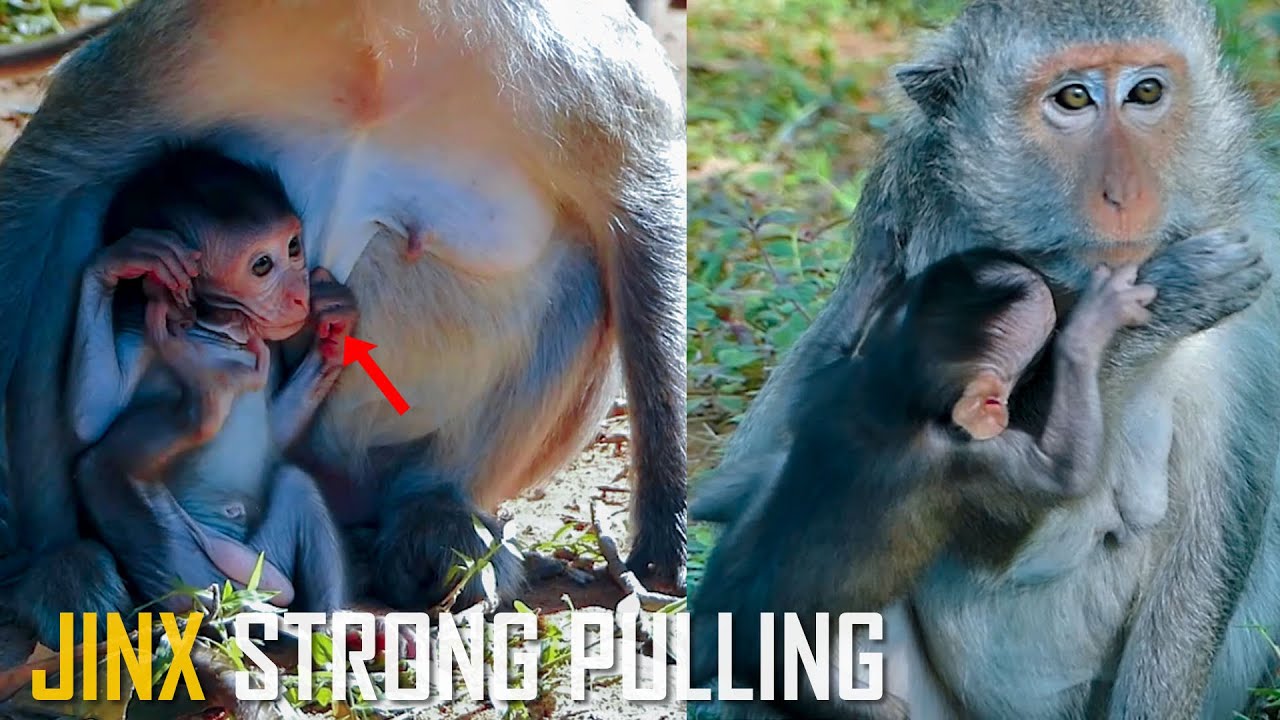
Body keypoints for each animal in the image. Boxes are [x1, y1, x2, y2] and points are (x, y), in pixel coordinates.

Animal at [68, 146, 354, 612]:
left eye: (293, 247)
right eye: (262, 265)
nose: (300, 296)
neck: (220, 328)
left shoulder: (265, 343)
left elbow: (276, 430)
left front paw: (334, 326)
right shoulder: (143, 326)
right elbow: (90, 419)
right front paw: (113, 264)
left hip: (264, 558)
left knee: (297, 487)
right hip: (204, 574)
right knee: (102, 469)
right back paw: (206, 399)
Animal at [691, 253, 1155, 720]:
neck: (894, 391)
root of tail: (717, 624)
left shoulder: (837, 386)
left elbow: (812, 383)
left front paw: (879, 270)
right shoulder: (966, 459)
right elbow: (1065, 474)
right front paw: (1091, 327)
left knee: (768, 471)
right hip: (786, 671)